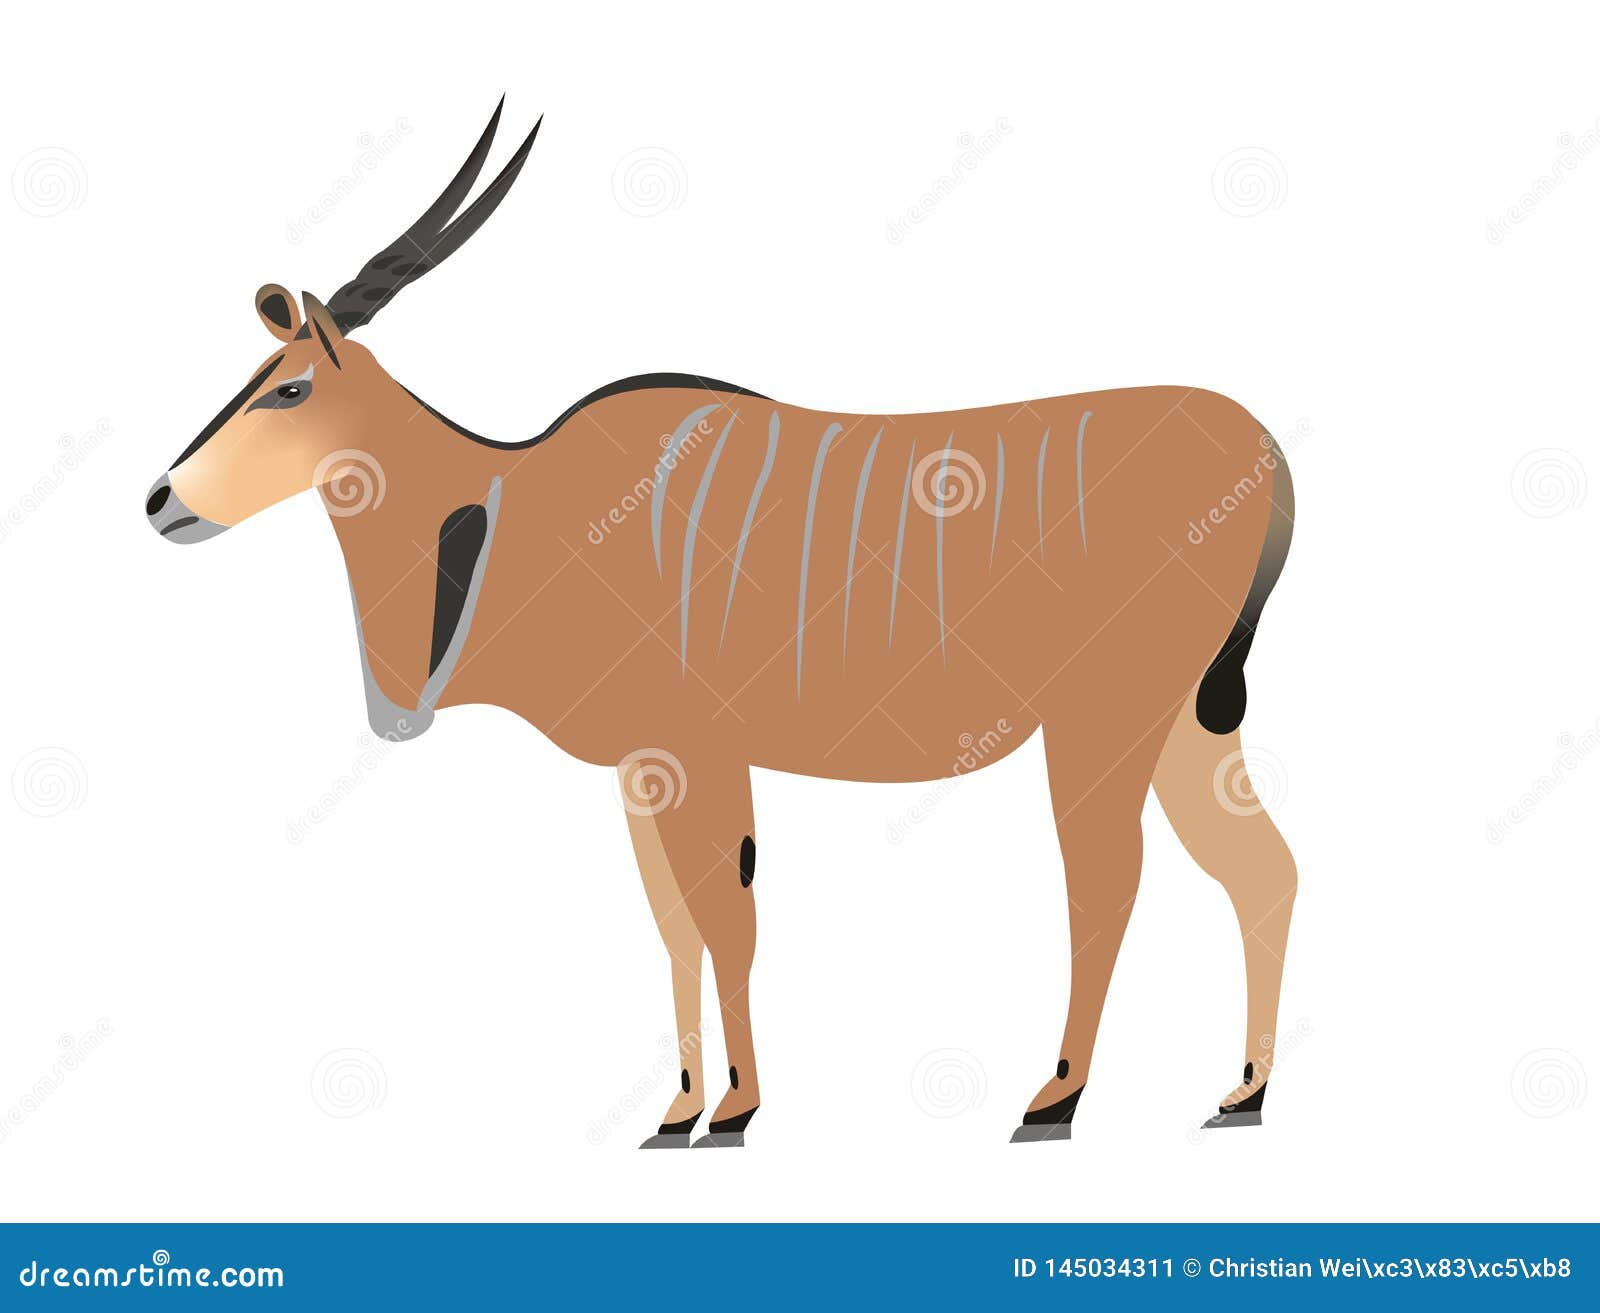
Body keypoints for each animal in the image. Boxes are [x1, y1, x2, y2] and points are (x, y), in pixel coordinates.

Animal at [146, 101, 1297, 1148]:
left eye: (288, 388)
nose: (160, 500)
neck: (510, 510)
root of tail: (1266, 456)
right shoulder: (646, 769)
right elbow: (674, 927)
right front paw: (675, 1111)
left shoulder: (699, 755)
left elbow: (726, 918)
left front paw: (736, 1111)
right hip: (1185, 721)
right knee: (1263, 868)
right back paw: (1240, 1093)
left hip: (1102, 722)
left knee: (1108, 882)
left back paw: (1053, 1099)